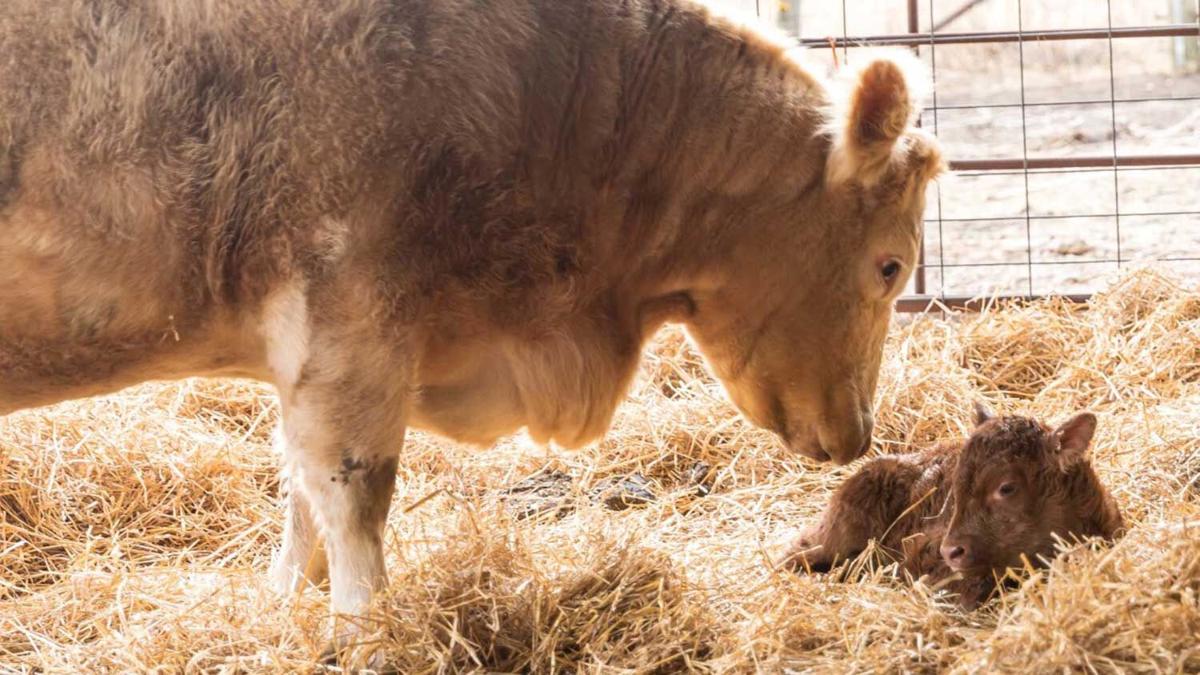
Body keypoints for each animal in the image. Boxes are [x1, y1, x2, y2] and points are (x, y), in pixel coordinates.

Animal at [0, 0, 943, 635]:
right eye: (891, 265)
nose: (858, 433)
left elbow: (299, 491)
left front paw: (288, 601)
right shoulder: (347, 315)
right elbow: (350, 489)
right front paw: (365, 626)